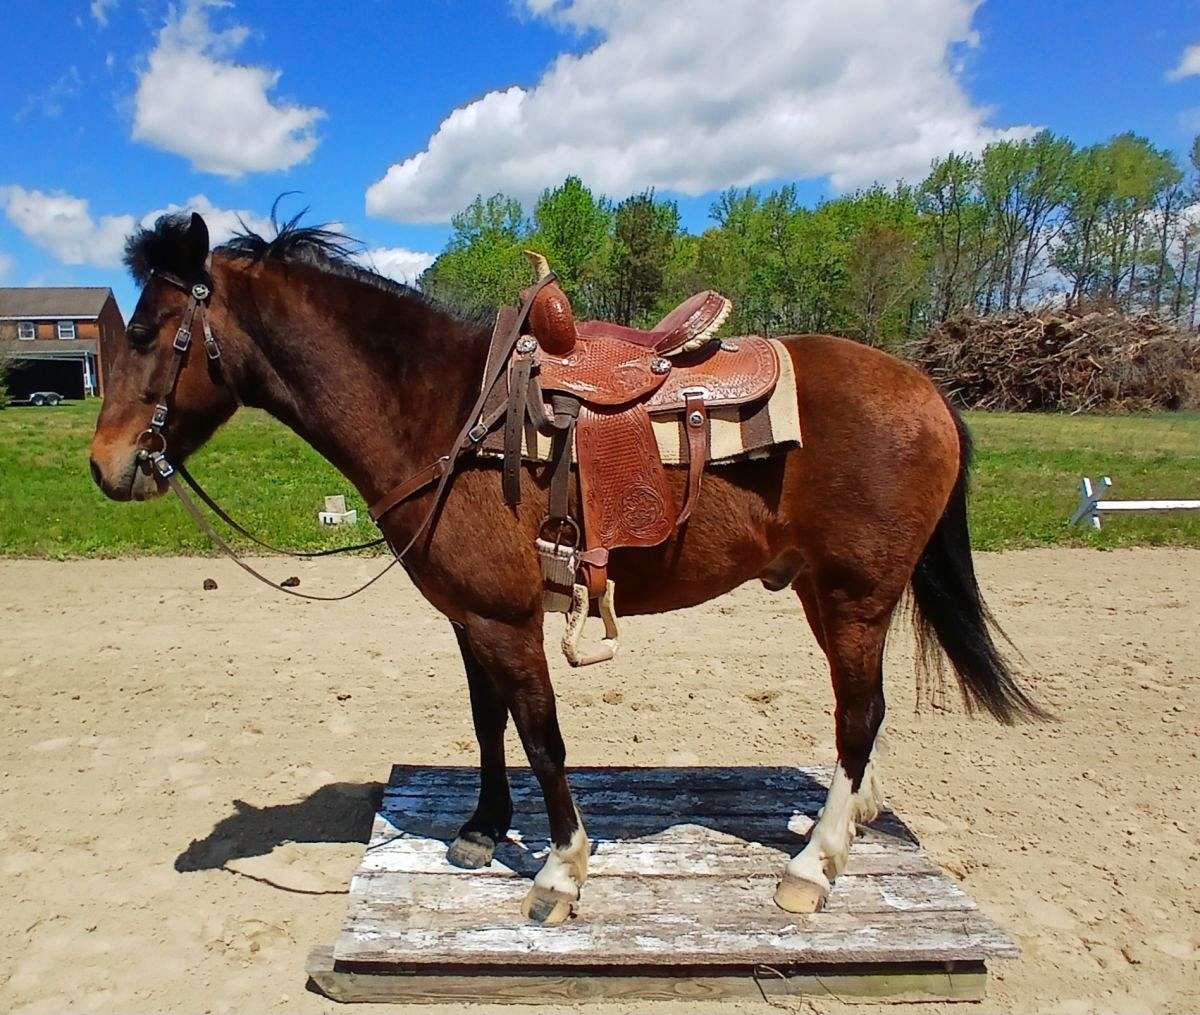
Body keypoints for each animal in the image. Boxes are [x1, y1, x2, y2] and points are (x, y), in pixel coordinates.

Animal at [89, 211, 1042, 925]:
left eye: (148, 331)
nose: (105, 466)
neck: (448, 415)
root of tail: (927, 389)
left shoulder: (508, 619)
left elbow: (541, 734)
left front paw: (560, 869)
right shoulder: (470, 617)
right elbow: (489, 725)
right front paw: (482, 828)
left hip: (854, 593)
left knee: (859, 710)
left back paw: (811, 868)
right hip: (832, 592)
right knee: (861, 713)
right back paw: (849, 821)